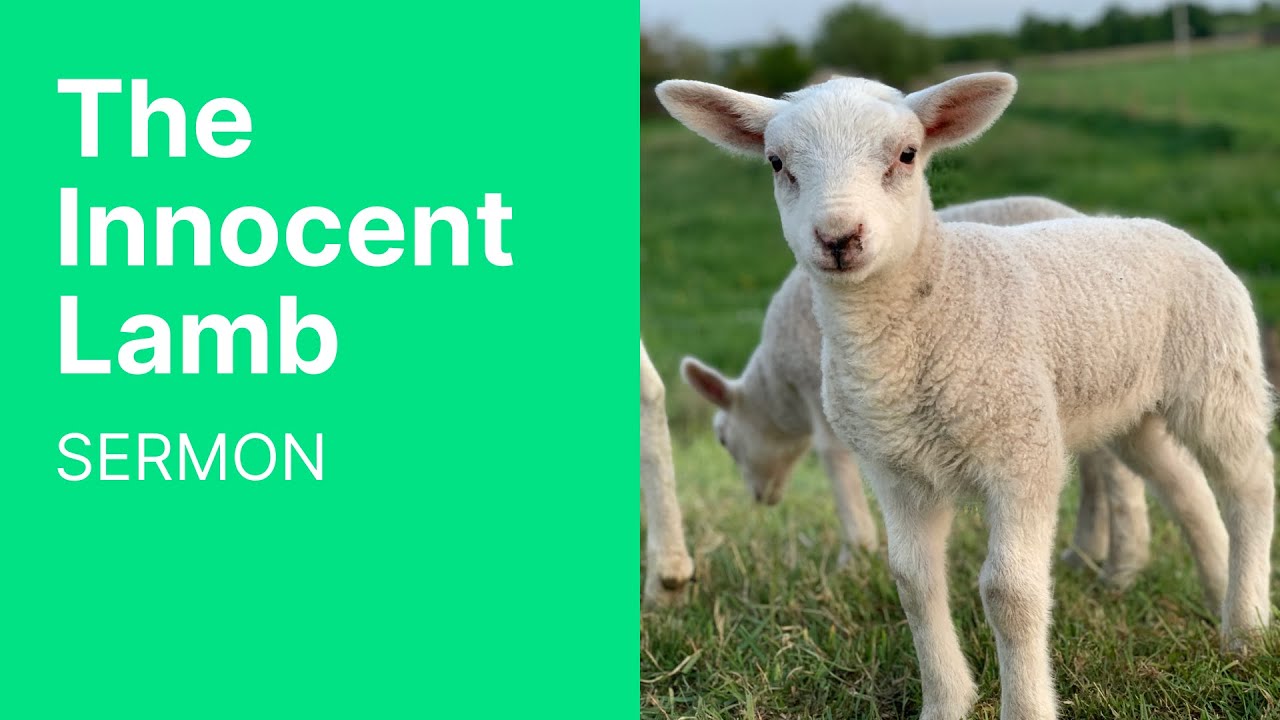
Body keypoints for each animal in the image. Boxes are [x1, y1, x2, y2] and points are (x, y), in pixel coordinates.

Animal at [656, 72, 1273, 720]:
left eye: (907, 155)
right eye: (777, 163)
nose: (838, 237)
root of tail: (1161, 226)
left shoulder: (1022, 456)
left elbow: (1008, 592)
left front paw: (1025, 706)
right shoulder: (897, 471)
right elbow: (914, 584)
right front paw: (946, 701)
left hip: (1217, 378)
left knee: (1249, 487)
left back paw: (1247, 627)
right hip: (1133, 411)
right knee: (1185, 489)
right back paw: (1218, 594)